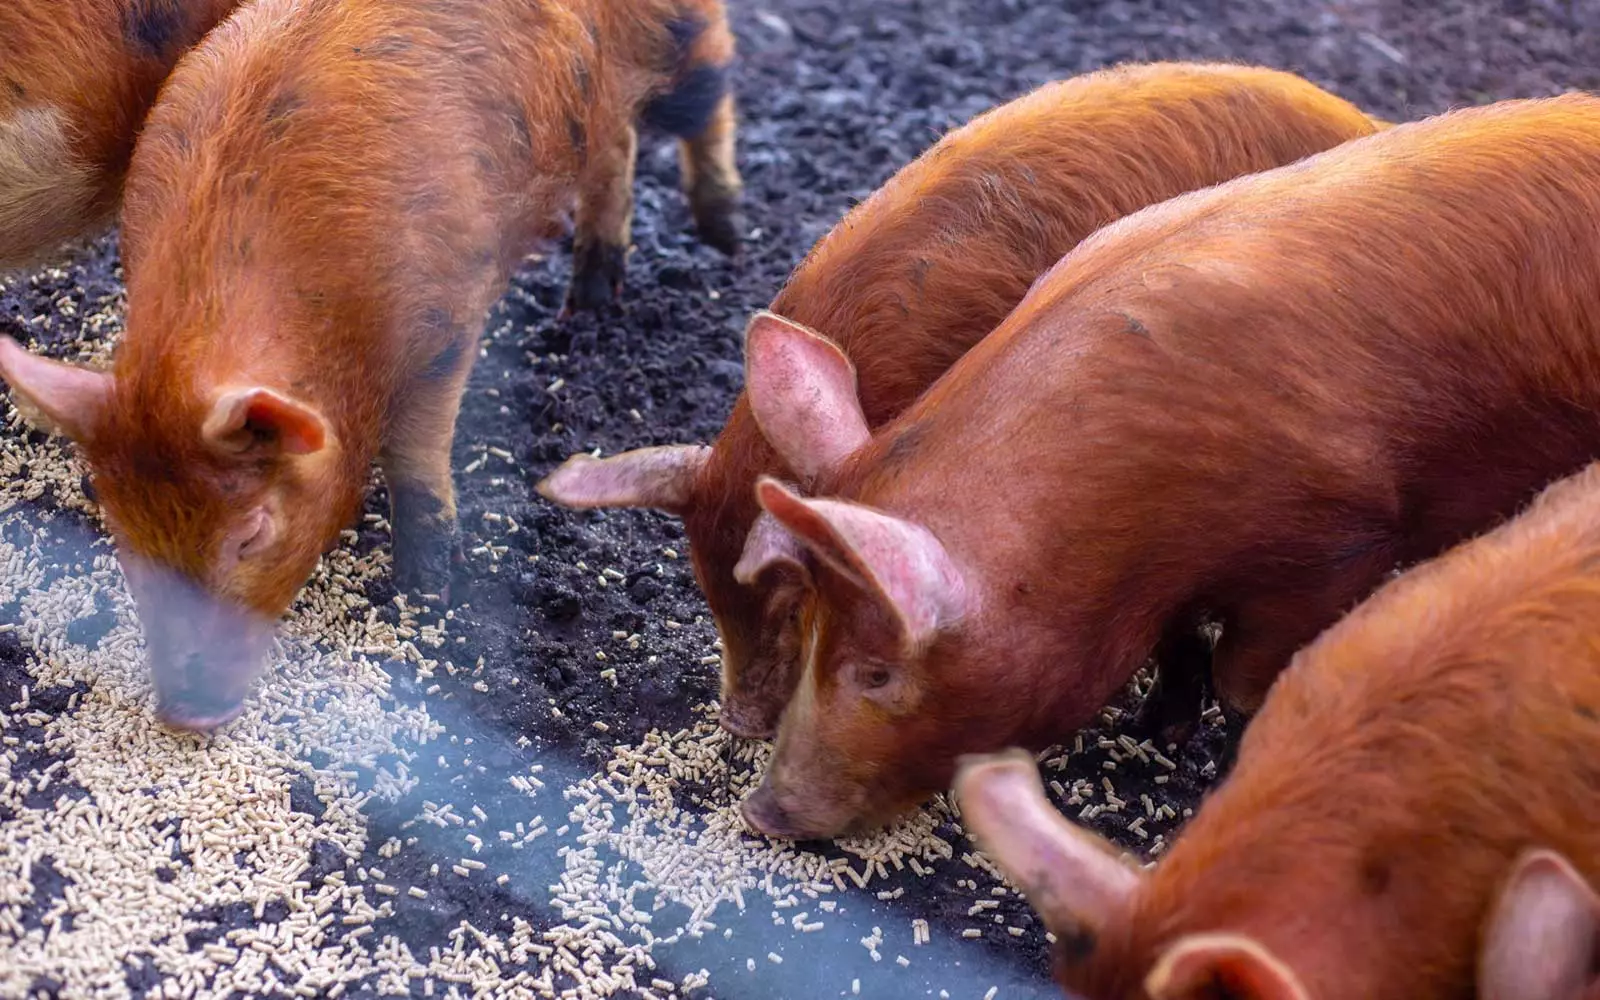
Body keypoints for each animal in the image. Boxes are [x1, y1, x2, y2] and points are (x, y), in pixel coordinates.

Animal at [732, 93, 1600, 838]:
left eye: (877, 672)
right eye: (805, 624)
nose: (761, 812)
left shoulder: (1340, 541)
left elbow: (1248, 679)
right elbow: (1175, 644)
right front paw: (1156, 727)